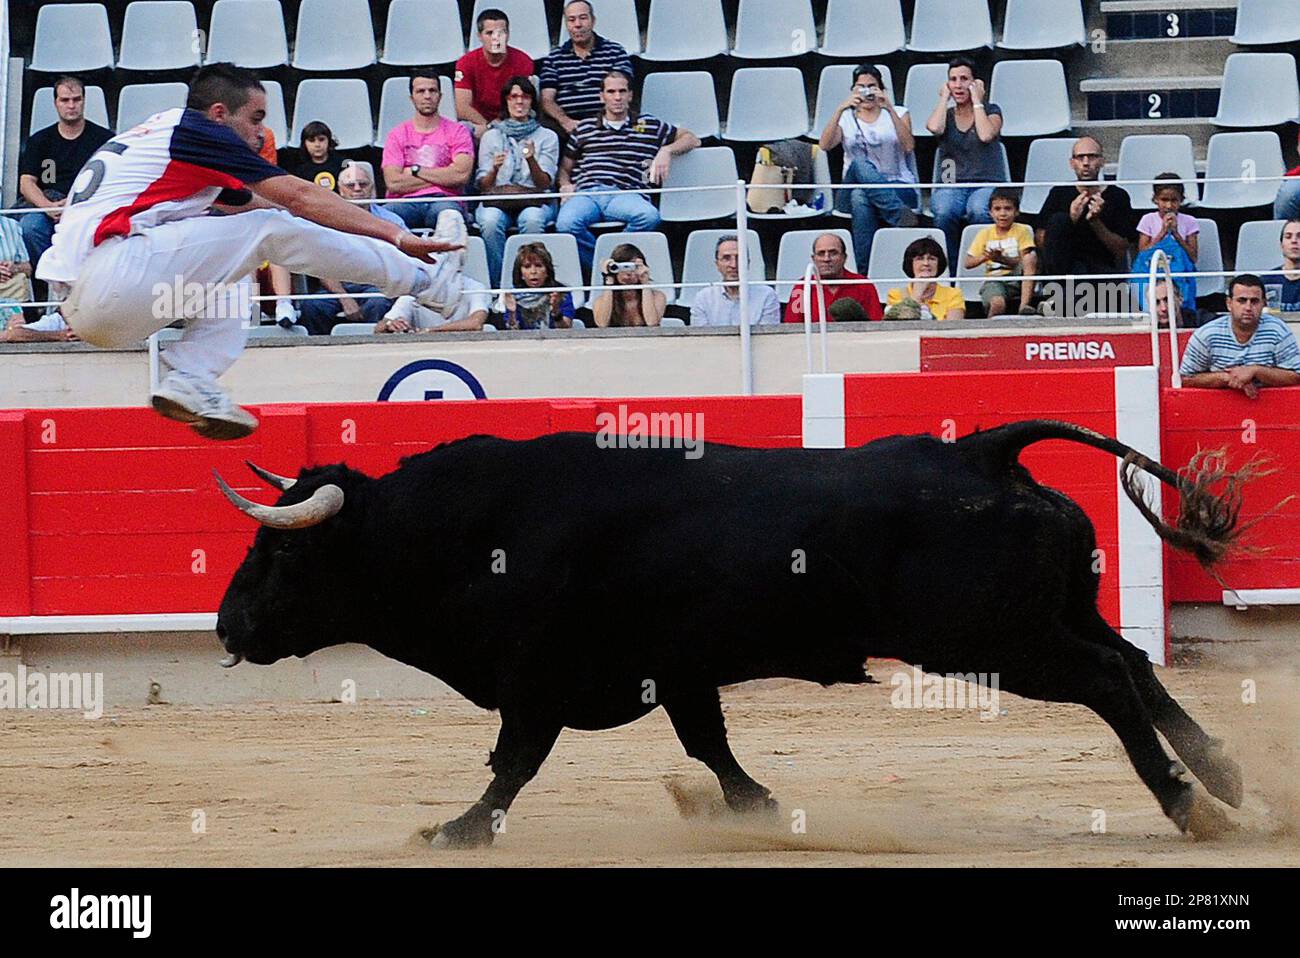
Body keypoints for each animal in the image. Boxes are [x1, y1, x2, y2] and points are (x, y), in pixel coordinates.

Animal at [213, 419, 1255, 848]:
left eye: (281, 553)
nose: (226, 624)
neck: (467, 530)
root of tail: (980, 453)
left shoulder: (539, 678)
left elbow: (514, 763)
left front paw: (456, 830)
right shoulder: (675, 672)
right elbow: (710, 746)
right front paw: (756, 810)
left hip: (998, 641)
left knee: (1110, 682)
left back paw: (1189, 805)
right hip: (1050, 616)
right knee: (1133, 665)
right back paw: (1228, 778)